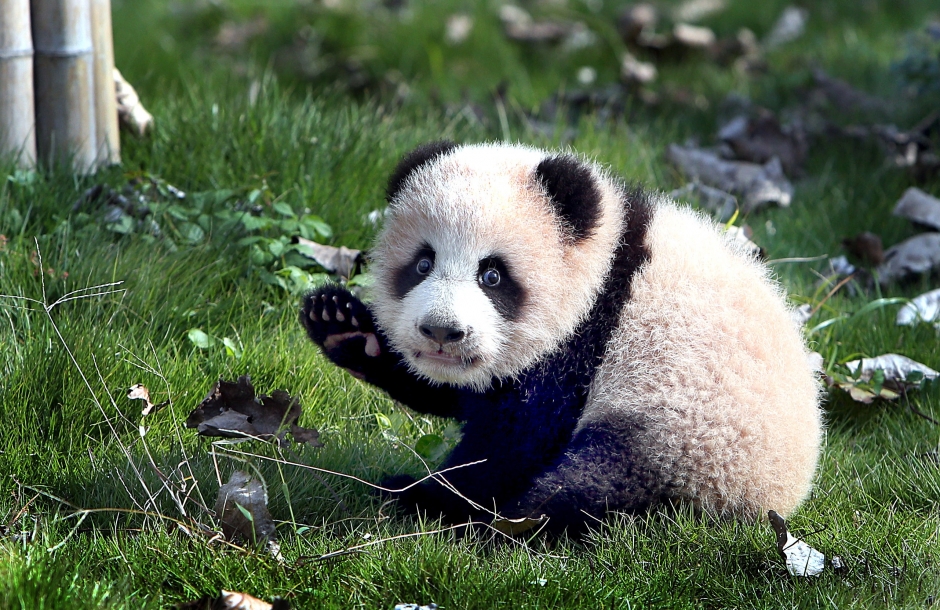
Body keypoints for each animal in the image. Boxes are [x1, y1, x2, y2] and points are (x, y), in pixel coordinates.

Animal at [301, 141, 822, 532]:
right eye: (422, 263)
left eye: (492, 275)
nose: (442, 331)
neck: (605, 257)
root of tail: (777, 500)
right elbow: (460, 393)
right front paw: (343, 325)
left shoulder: (582, 346)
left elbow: (514, 442)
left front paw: (427, 495)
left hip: (688, 442)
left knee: (593, 486)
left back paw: (493, 520)